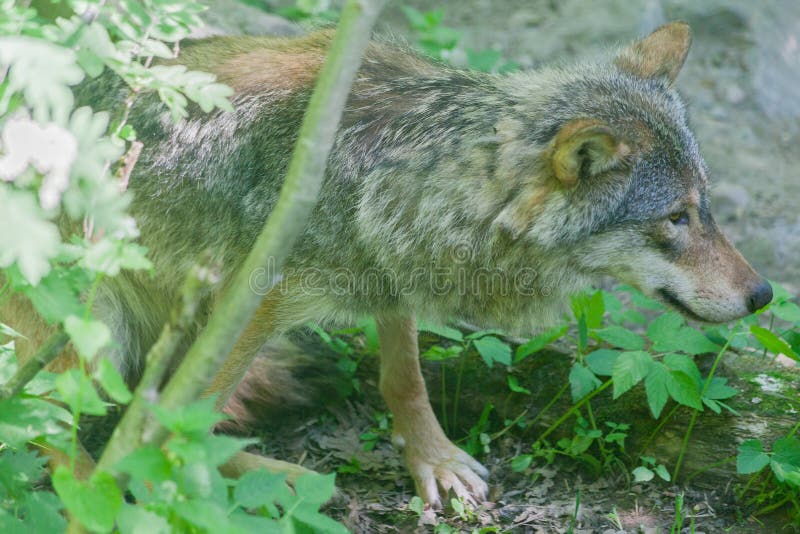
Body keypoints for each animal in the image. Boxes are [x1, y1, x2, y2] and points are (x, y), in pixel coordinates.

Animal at [2, 22, 772, 507]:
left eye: (706, 206)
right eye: (675, 218)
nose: (764, 294)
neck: (407, 168)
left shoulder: (387, 269)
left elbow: (404, 376)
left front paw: (434, 462)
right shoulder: (261, 295)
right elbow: (181, 415)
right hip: (88, 324)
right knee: (59, 427)